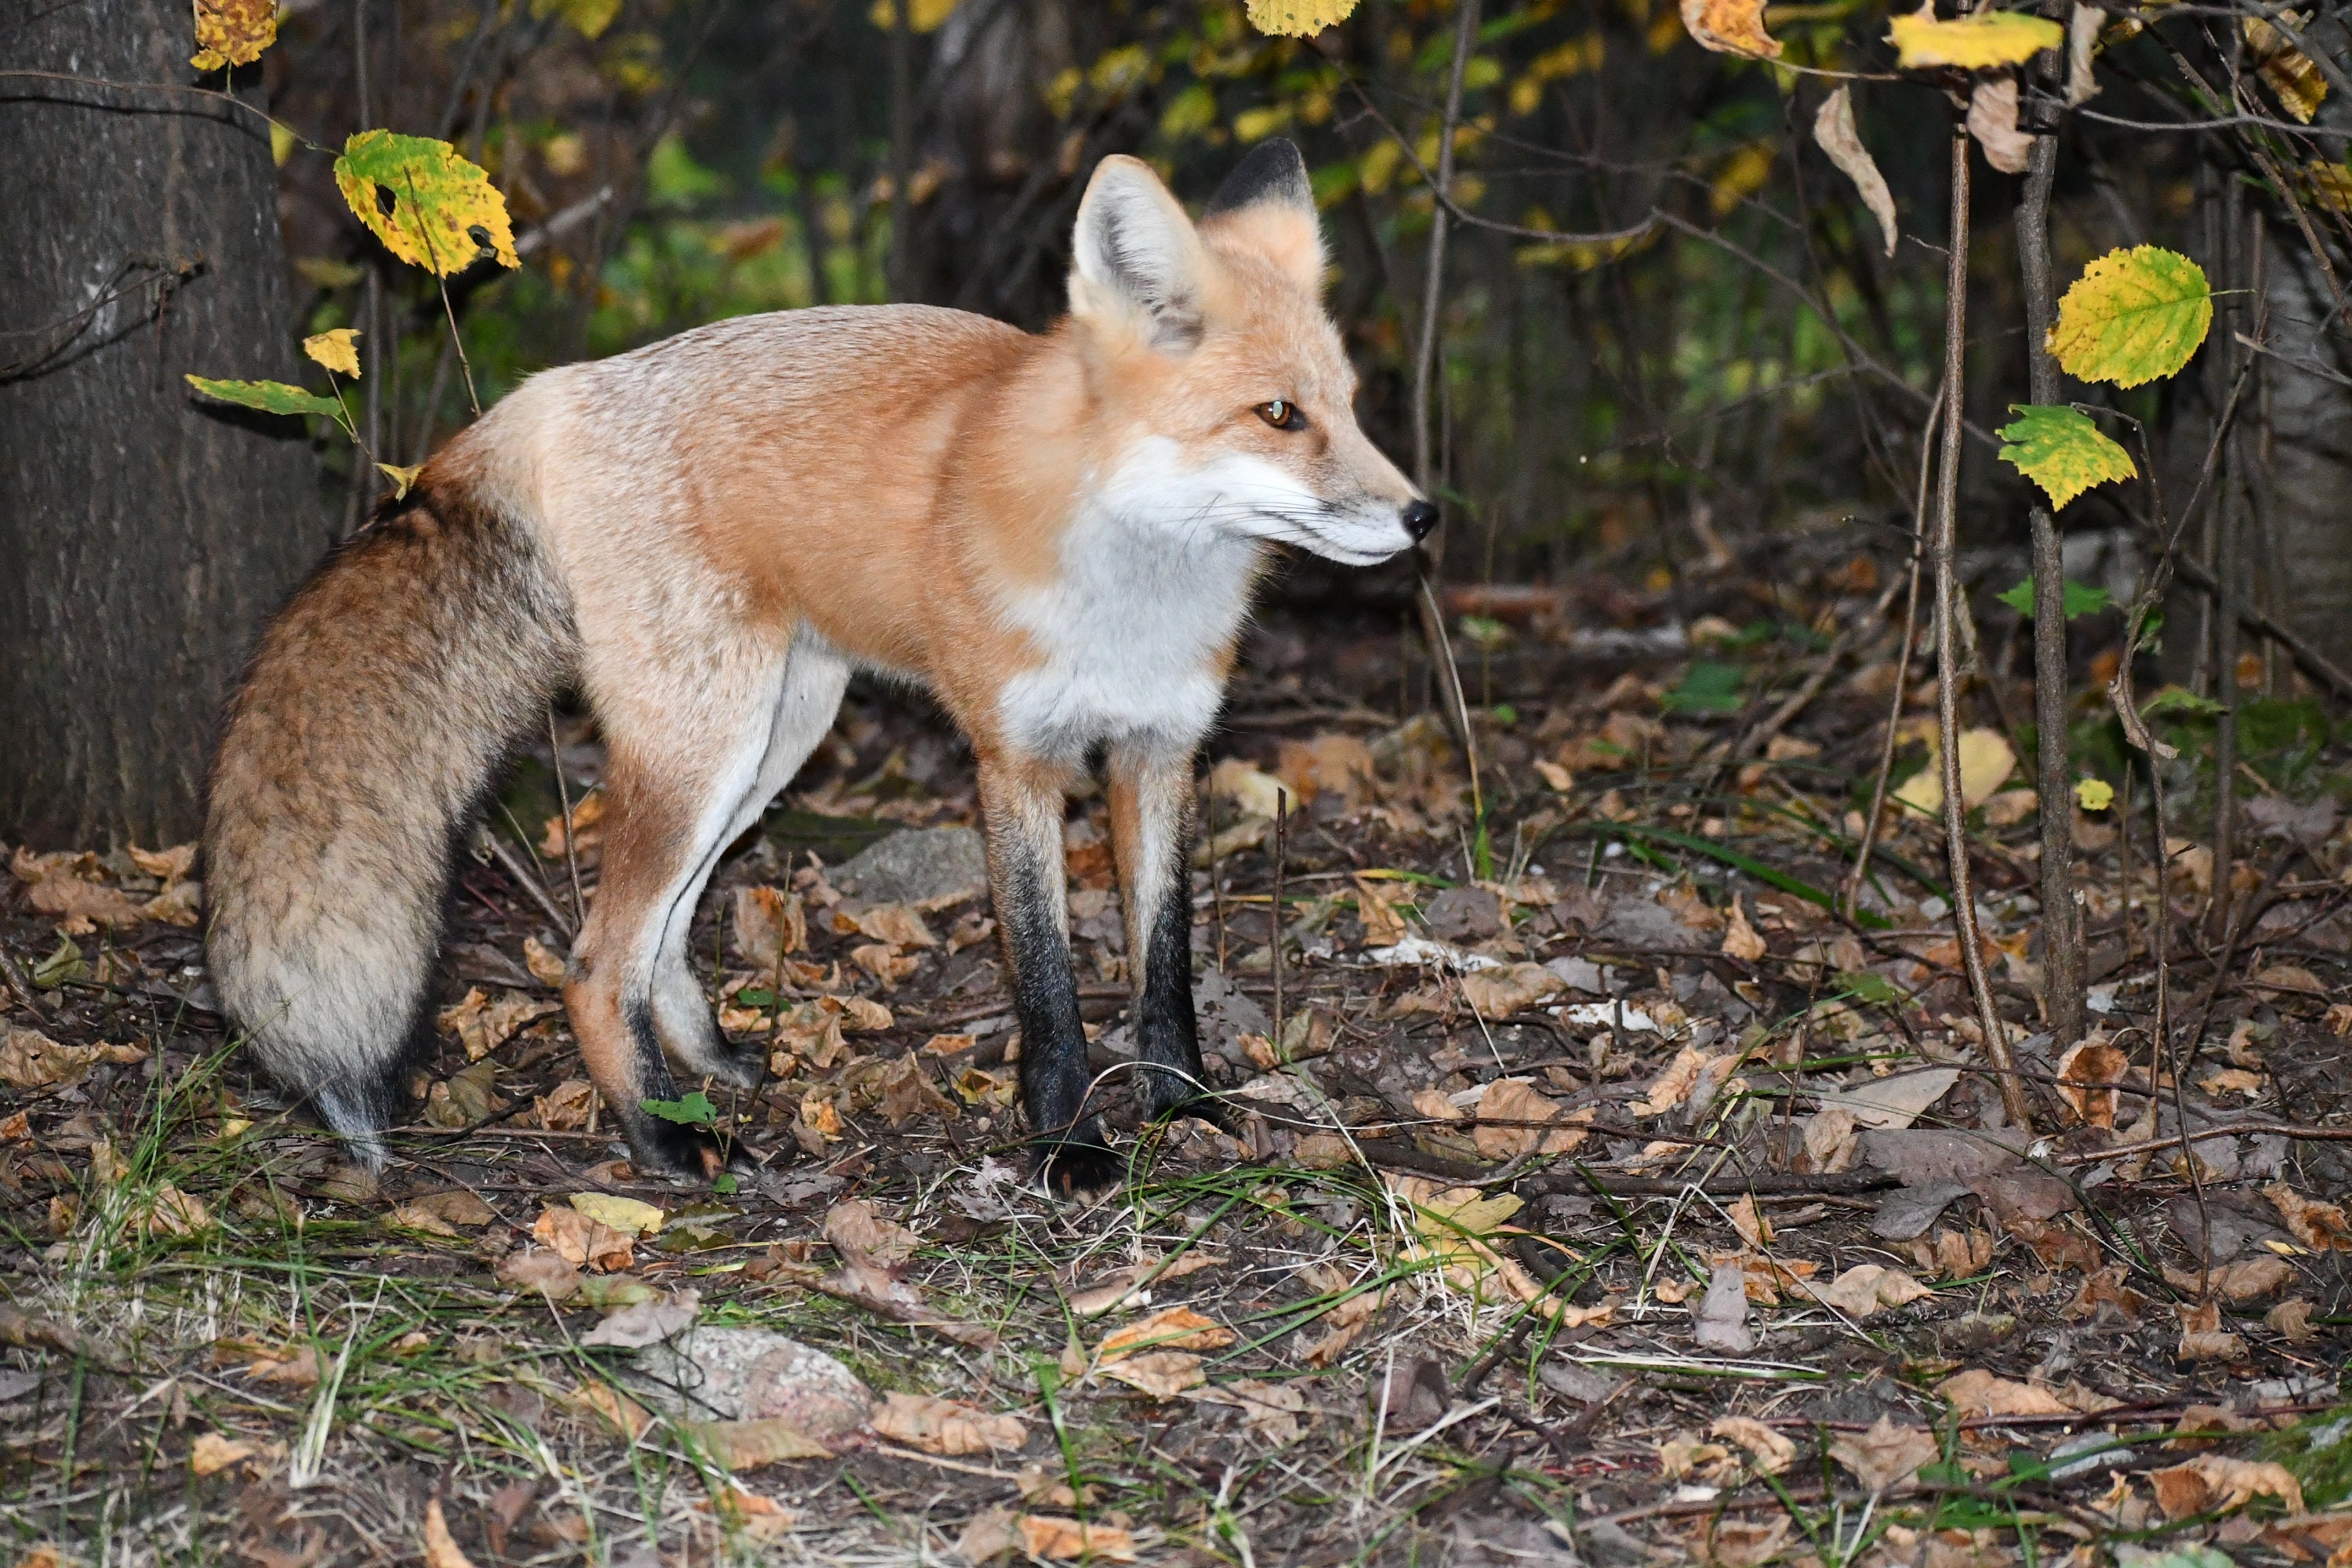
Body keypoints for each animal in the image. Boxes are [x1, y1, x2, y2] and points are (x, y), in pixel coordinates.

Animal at [203, 139, 1434, 1192]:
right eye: (1278, 415)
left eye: (1351, 407)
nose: (1422, 518)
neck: (1129, 594)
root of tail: (549, 393)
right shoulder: (1013, 762)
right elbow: (1046, 980)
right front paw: (1070, 1144)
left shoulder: (1159, 748)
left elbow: (1163, 959)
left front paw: (1183, 1107)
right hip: (708, 744)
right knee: (596, 961)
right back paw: (662, 1141)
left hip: (775, 738)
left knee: (663, 938)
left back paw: (706, 1076)